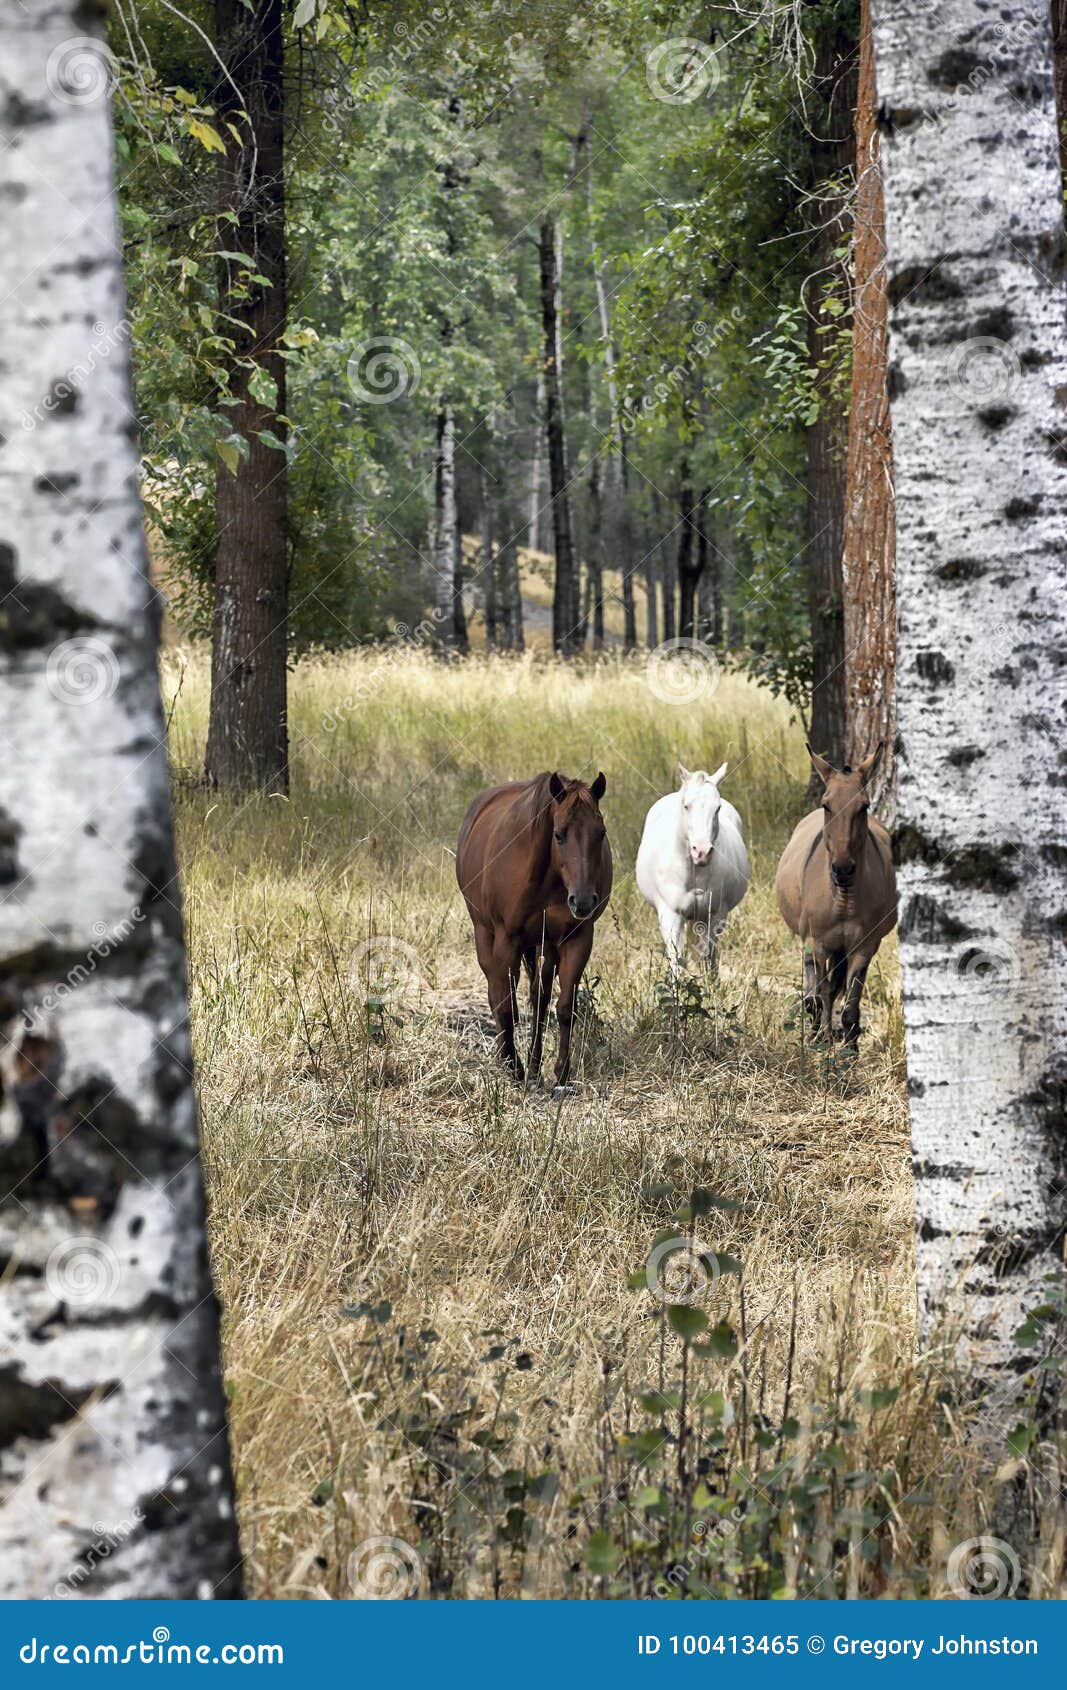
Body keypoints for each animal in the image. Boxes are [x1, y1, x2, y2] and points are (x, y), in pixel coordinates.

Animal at [456, 771, 612, 1091]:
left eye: (600, 832)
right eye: (559, 834)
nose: (583, 901)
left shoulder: (577, 939)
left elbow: (564, 1007)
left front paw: (561, 1071)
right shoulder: (507, 940)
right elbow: (506, 1005)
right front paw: (513, 1068)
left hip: (546, 946)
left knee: (540, 1000)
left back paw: (535, 1065)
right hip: (485, 934)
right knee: (497, 992)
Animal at [636, 763, 749, 973]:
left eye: (717, 808)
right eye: (686, 806)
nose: (702, 852)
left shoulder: (715, 916)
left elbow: (708, 957)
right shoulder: (670, 916)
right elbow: (677, 961)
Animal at [774, 743, 897, 1045]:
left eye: (864, 806)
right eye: (826, 805)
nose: (843, 869)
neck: (843, 900)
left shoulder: (863, 947)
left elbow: (850, 1007)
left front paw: (849, 1049)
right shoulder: (817, 943)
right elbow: (817, 997)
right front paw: (819, 1039)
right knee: (819, 989)